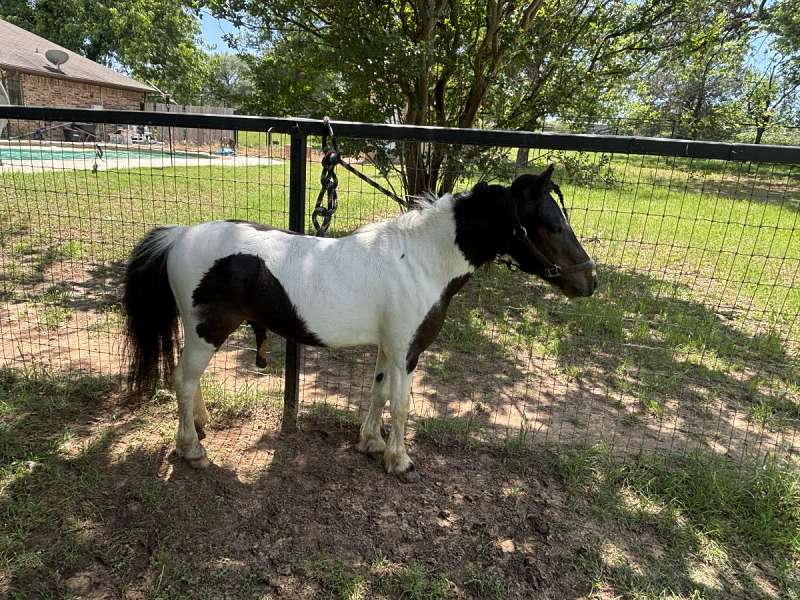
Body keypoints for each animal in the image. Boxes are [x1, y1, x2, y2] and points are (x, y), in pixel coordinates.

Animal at [122, 166, 597, 482]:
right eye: (553, 225)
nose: (590, 281)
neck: (420, 260)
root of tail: (179, 236)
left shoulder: (390, 346)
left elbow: (379, 391)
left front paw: (371, 443)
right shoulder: (408, 352)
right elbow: (402, 404)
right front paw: (400, 461)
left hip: (203, 333)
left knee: (190, 382)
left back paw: (200, 425)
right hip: (208, 332)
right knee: (183, 381)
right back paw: (192, 450)